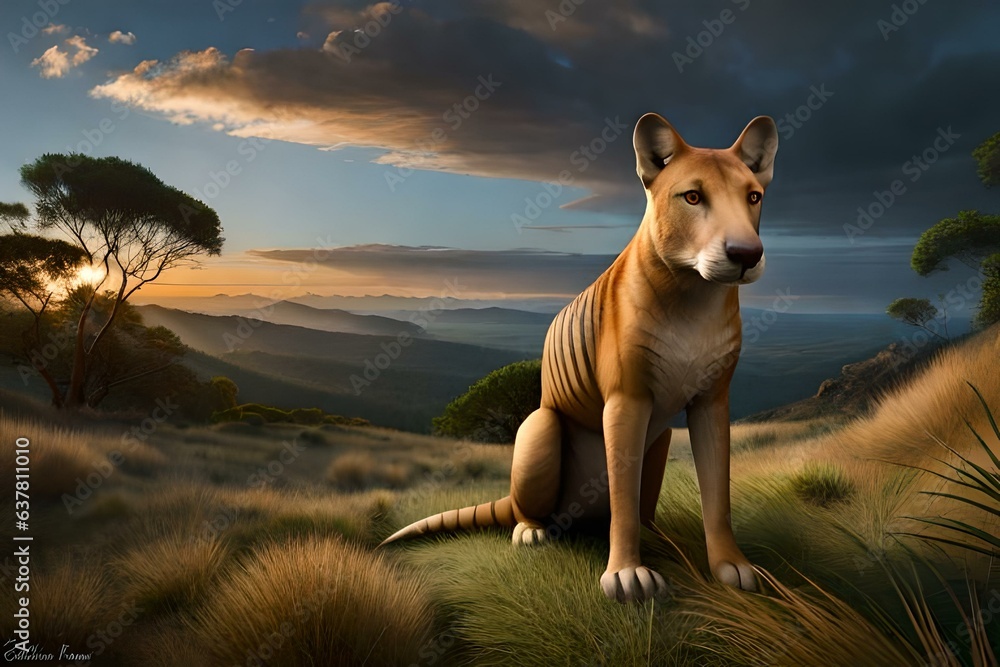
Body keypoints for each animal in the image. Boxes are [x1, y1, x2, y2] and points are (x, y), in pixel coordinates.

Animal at [379, 112, 779, 603]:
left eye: (753, 197)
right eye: (692, 196)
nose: (746, 255)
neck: (695, 296)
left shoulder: (711, 402)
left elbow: (717, 491)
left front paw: (733, 567)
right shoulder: (626, 402)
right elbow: (623, 491)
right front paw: (627, 576)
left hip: (663, 437)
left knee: (642, 509)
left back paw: (660, 536)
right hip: (540, 426)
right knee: (532, 508)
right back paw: (532, 533)